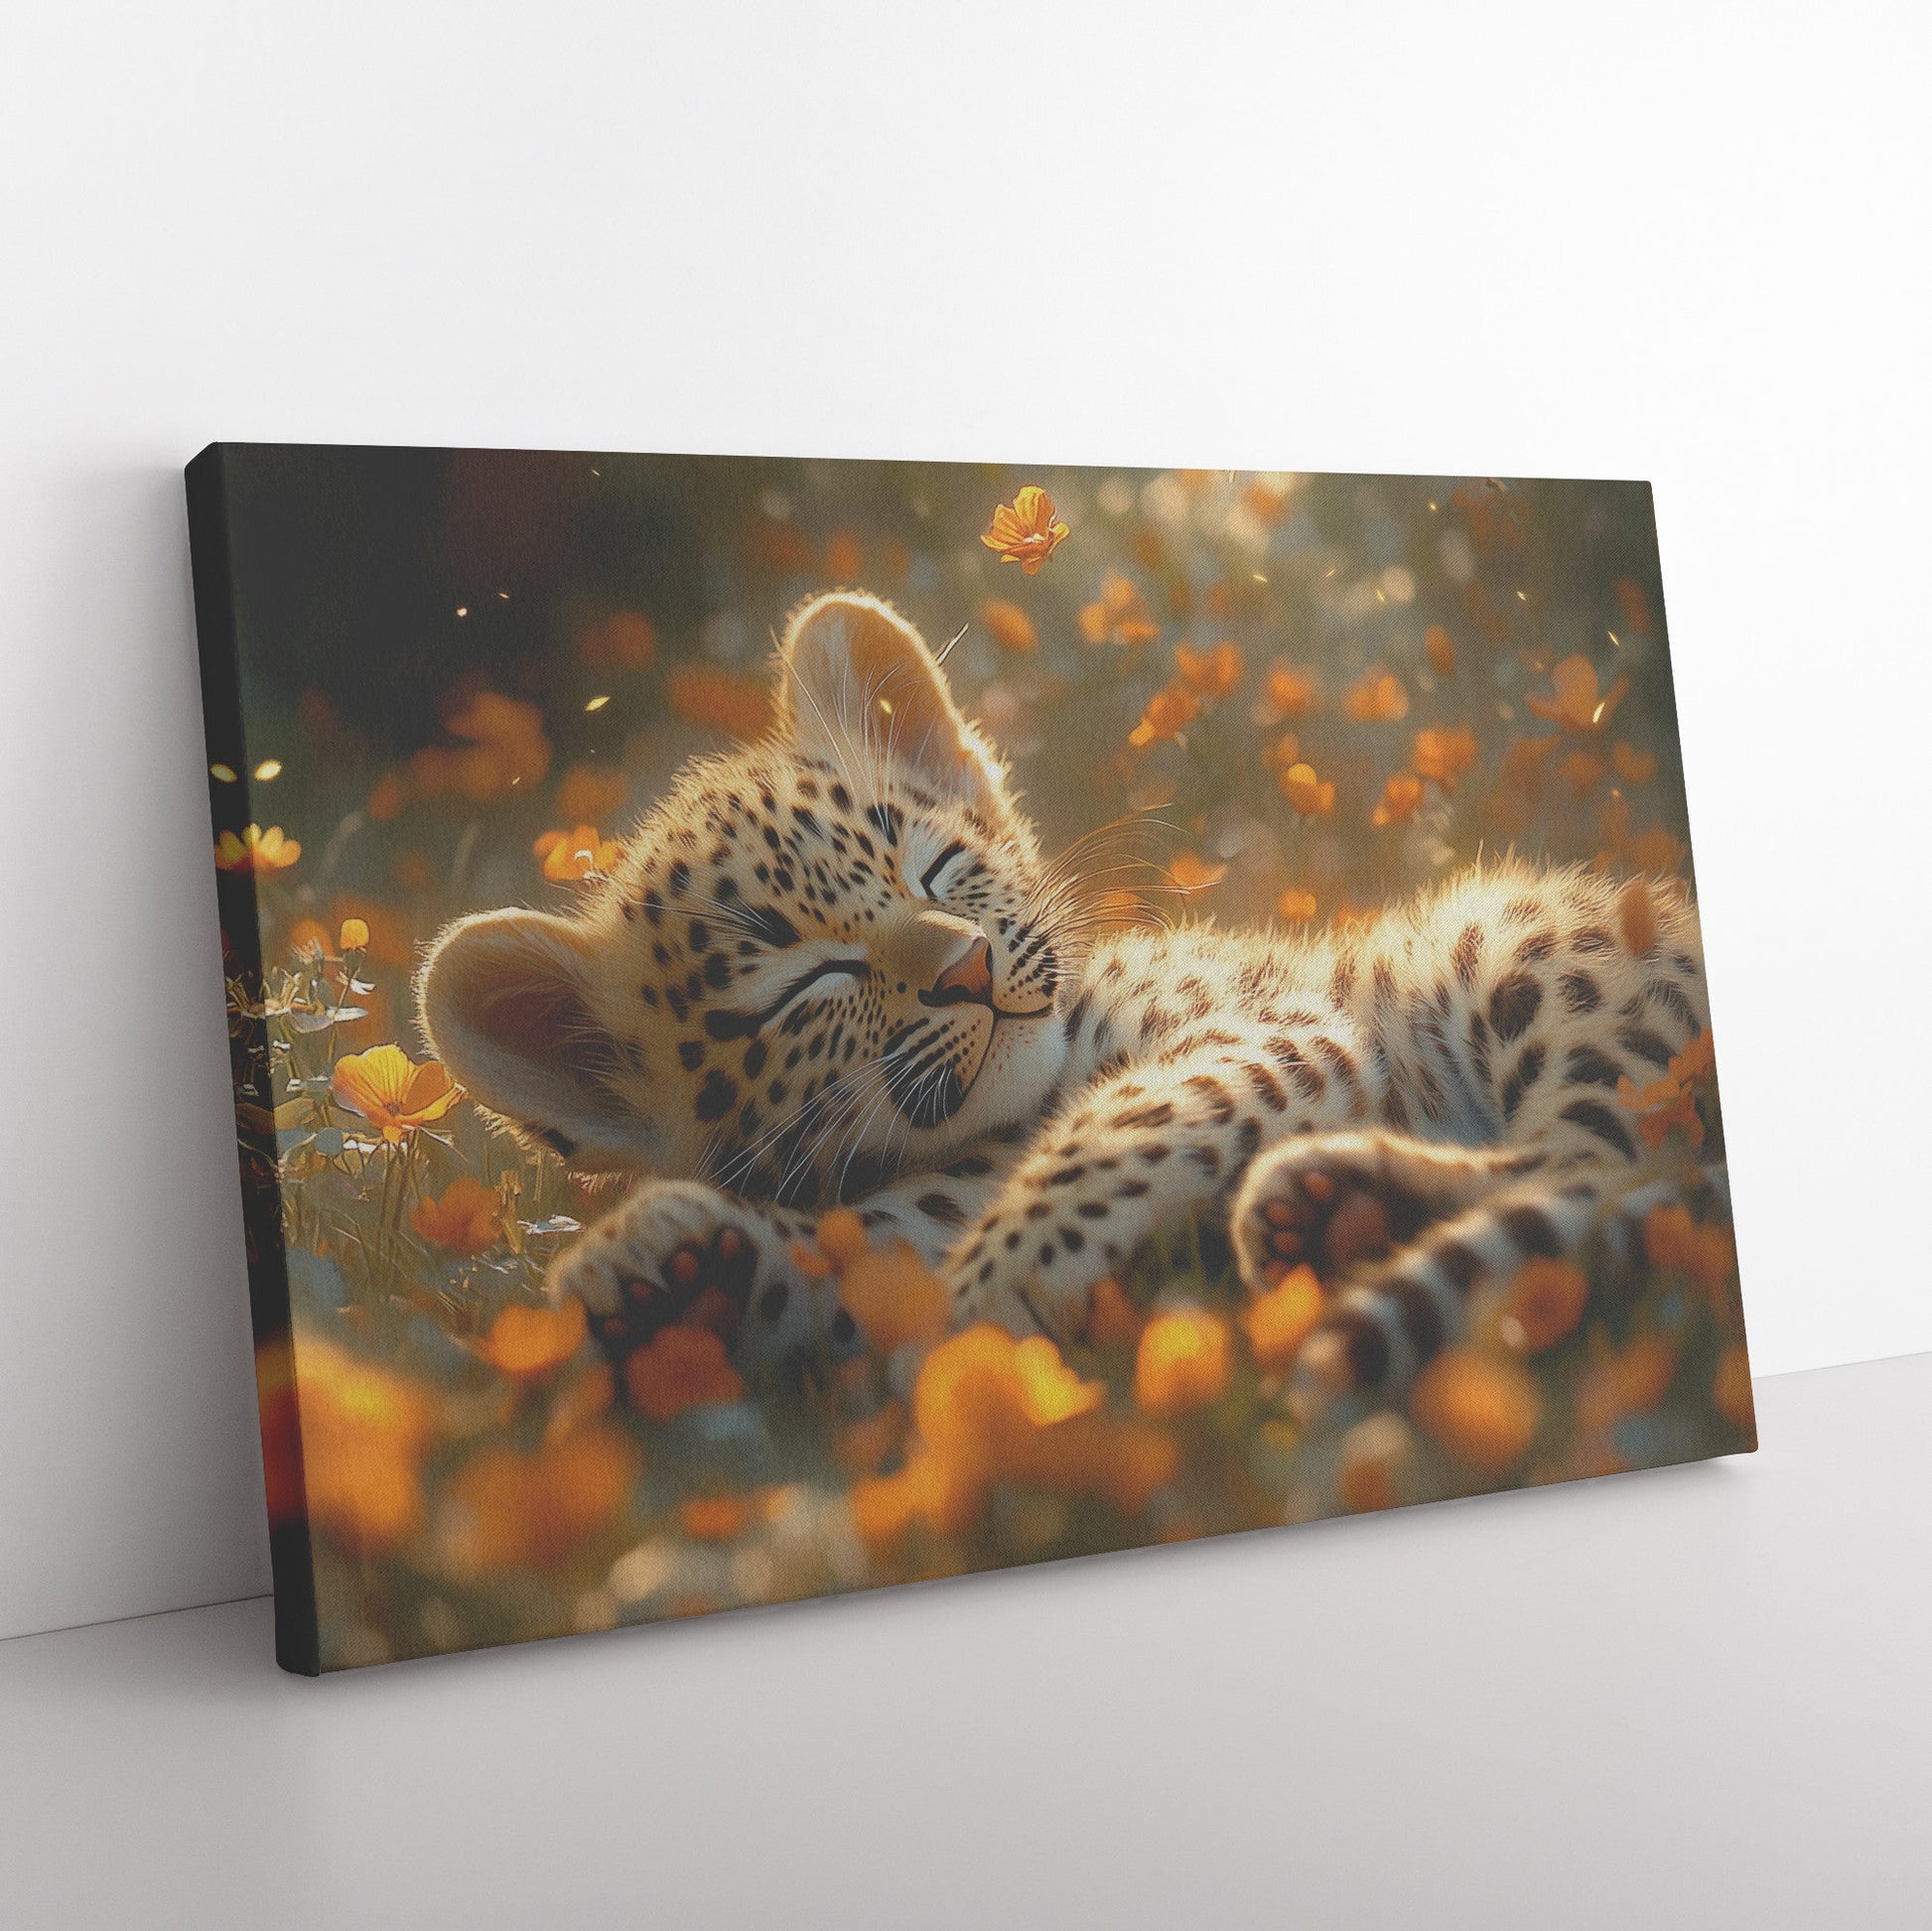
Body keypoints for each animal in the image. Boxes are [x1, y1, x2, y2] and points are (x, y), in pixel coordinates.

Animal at [419, 588, 1713, 1417]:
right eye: (806, 980)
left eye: (934, 869)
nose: (963, 967)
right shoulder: (930, 1172)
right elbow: (871, 1242)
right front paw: (663, 1275)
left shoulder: (1278, 1020)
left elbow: (1116, 1124)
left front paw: (986, 1298)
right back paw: (1332, 1214)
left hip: (1517, 954)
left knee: (1605, 1171)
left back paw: (1339, 1212)